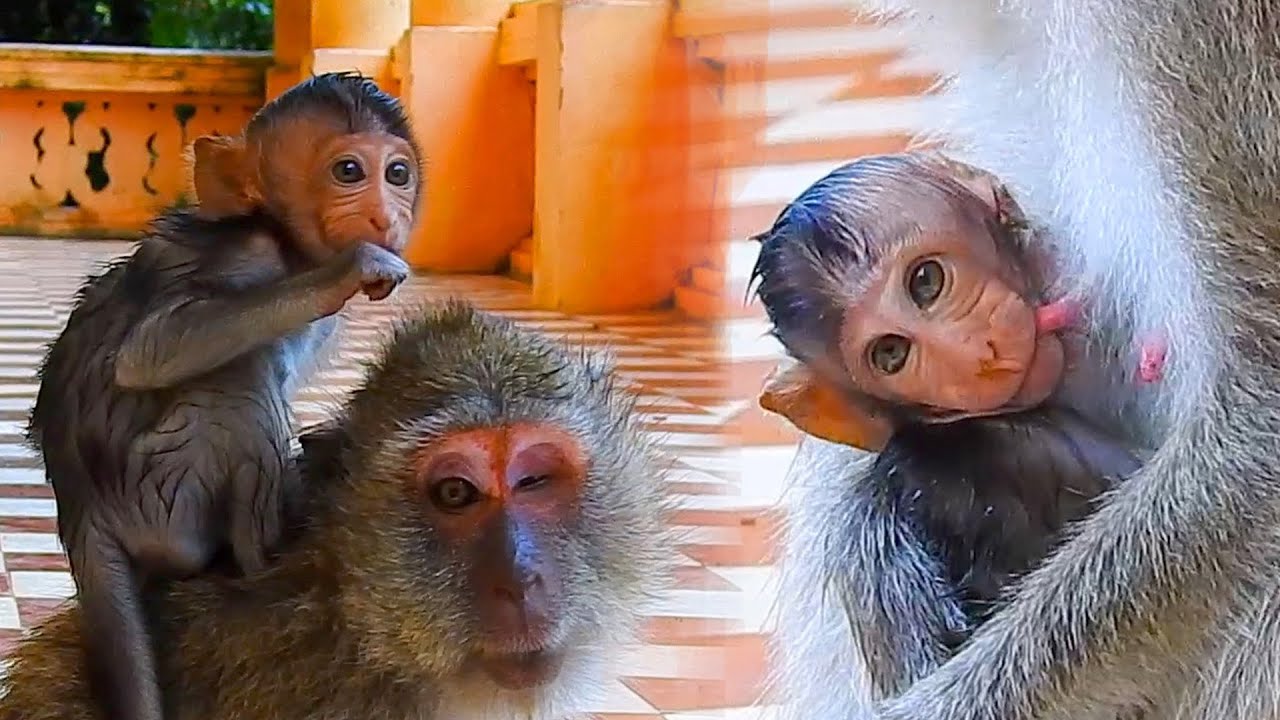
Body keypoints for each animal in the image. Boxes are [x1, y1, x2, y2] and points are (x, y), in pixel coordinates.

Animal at [24, 71, 423, 720]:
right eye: (348, 171)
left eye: (396, 173)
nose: (387, 215)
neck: (289, 247)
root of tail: (79, 510)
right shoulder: (246, 255)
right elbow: (151, 350)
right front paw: (353, 266)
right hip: (157, 500)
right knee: (237, 385)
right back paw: (262, 560)